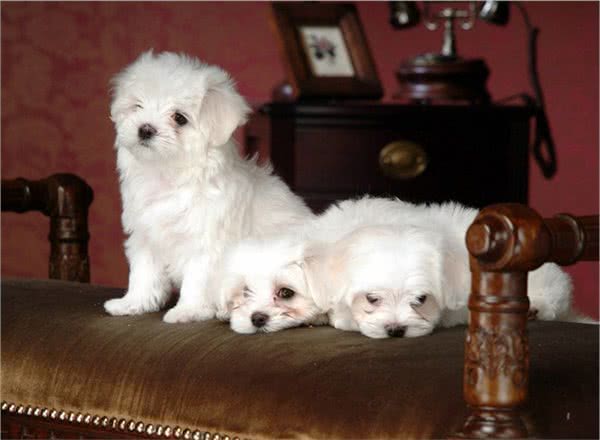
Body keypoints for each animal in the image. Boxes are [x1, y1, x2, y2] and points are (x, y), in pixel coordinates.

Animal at [102, 51, 314, 322]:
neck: (169, 174)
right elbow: (144, 273)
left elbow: (196, 281)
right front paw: (132, 303)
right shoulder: (146, 237)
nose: (145, 129)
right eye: (137, 106)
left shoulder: (205, 246)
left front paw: (188, 311)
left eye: (179, 118)